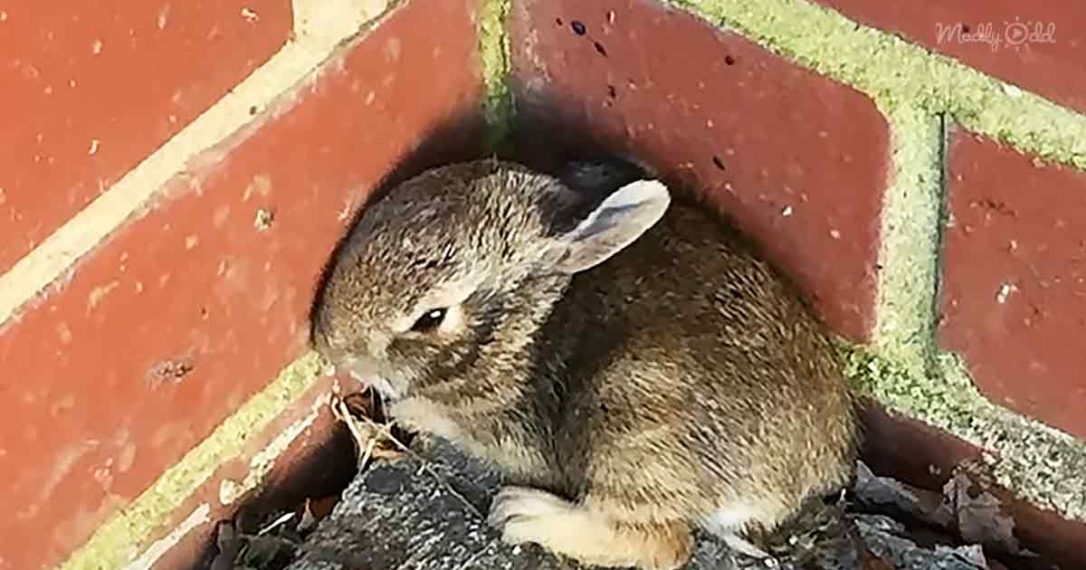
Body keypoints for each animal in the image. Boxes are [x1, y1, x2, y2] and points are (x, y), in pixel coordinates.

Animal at [312, 158, 858, 570]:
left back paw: (523, 514)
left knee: (662, 543)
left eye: (431, 317)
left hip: (629, 413)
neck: (528, 318)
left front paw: (407, 412)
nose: (329, 343)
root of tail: (800, 480)